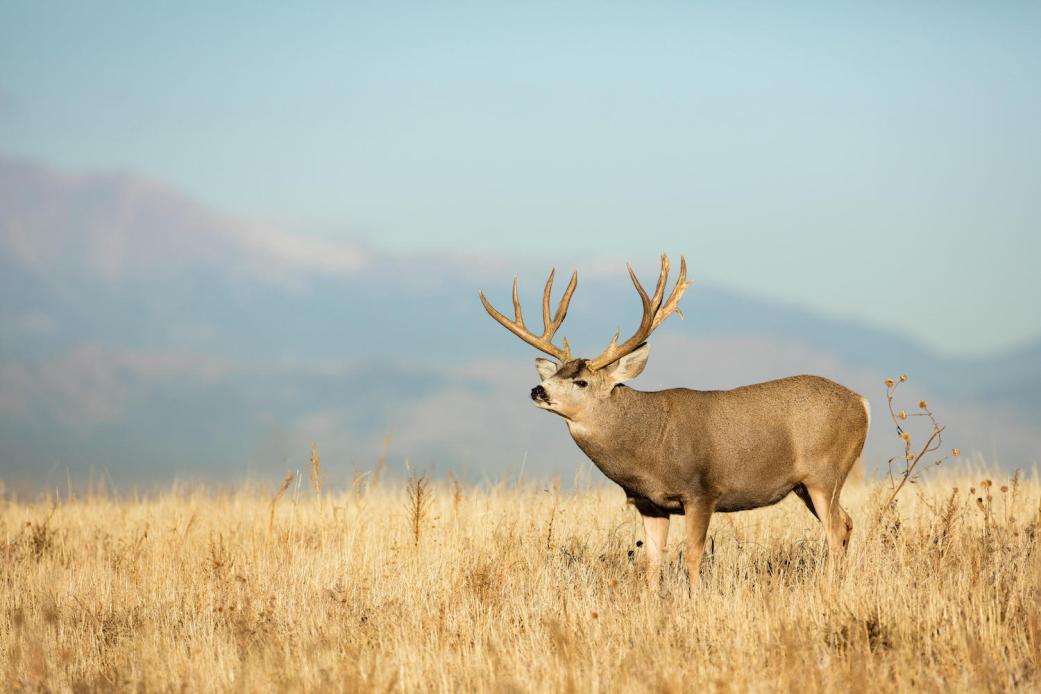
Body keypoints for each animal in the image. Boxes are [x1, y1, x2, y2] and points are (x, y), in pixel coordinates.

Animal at [479, 254, 870, 589]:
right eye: (556, 373)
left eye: (581, 382)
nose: (537, 389)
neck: (650, 444)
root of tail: (862, 403)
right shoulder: (649, 504)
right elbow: (653, 562)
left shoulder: (702, 490)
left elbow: (693, 555)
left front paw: (694, 600)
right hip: (806, 485)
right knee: (848, 523)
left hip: (824, 473)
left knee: (836, 529)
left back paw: (829, 587)